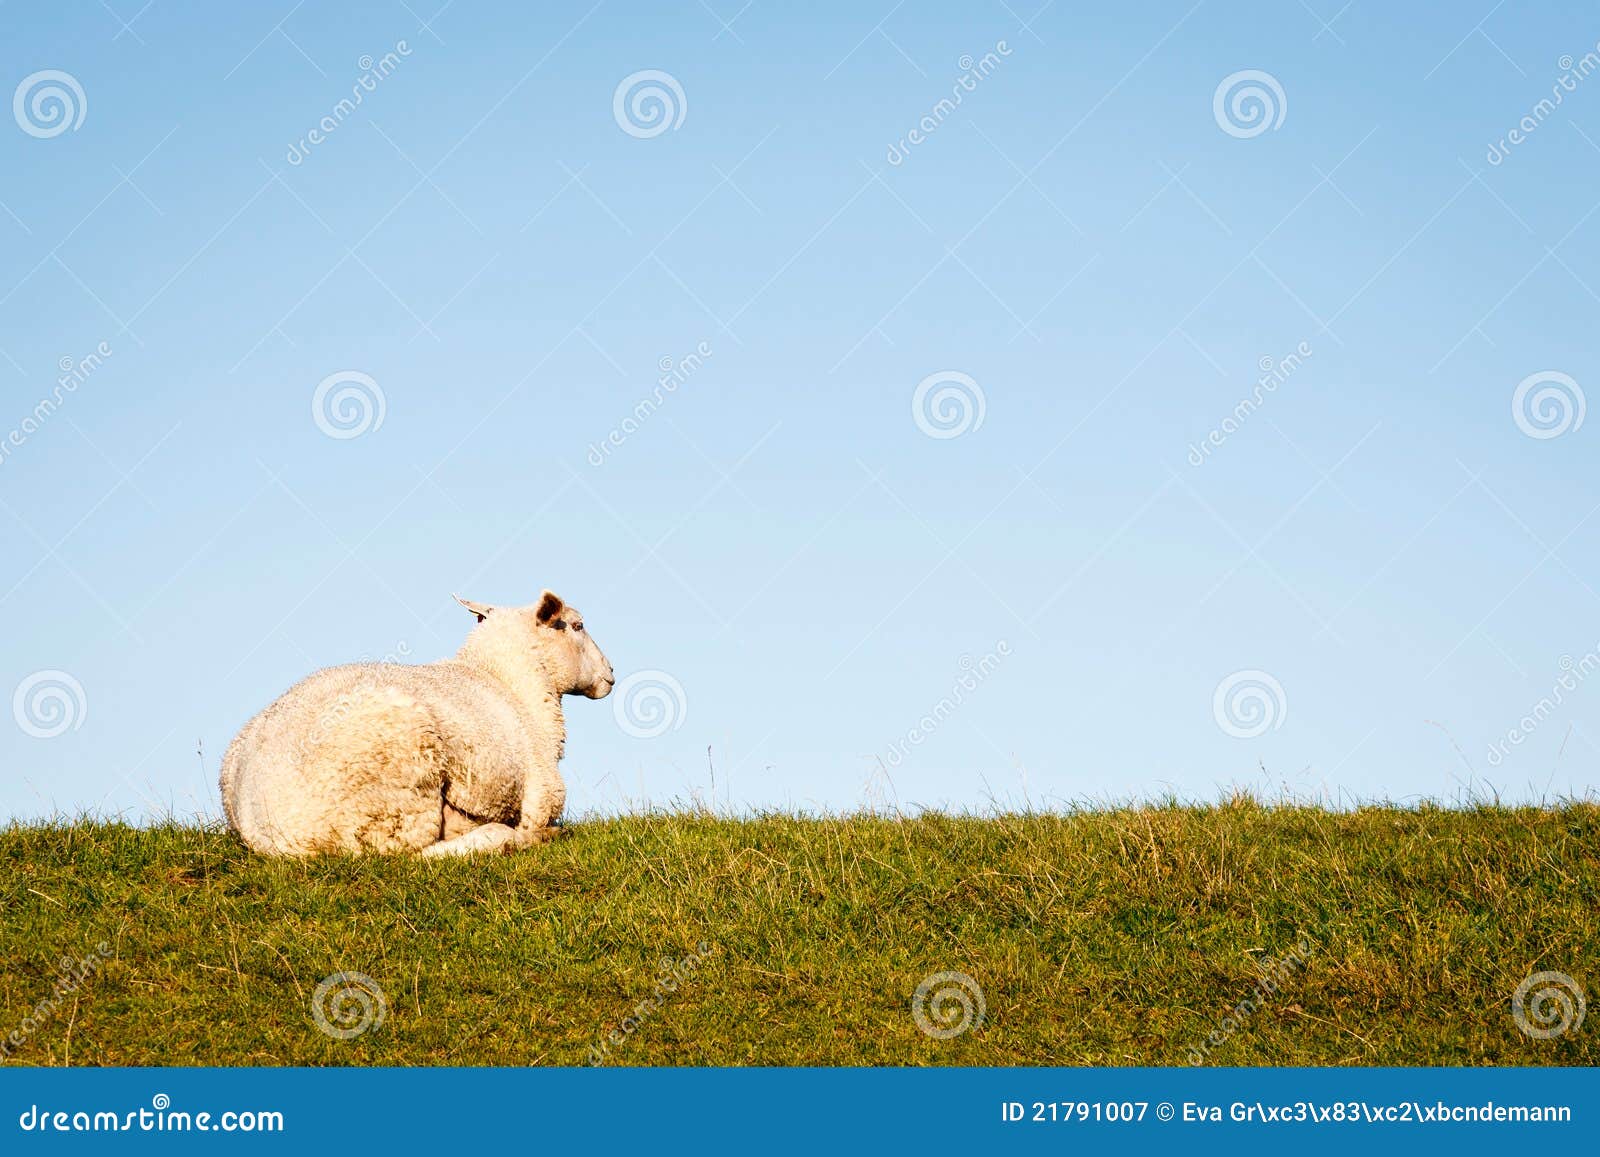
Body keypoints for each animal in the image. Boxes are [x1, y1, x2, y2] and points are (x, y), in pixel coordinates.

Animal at [219, 589, 614, 857]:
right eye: (578, 625)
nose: (611, 673)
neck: (509, 682)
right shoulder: (540, 797)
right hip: (392, 801)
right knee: (414, 856)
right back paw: (507, 838)